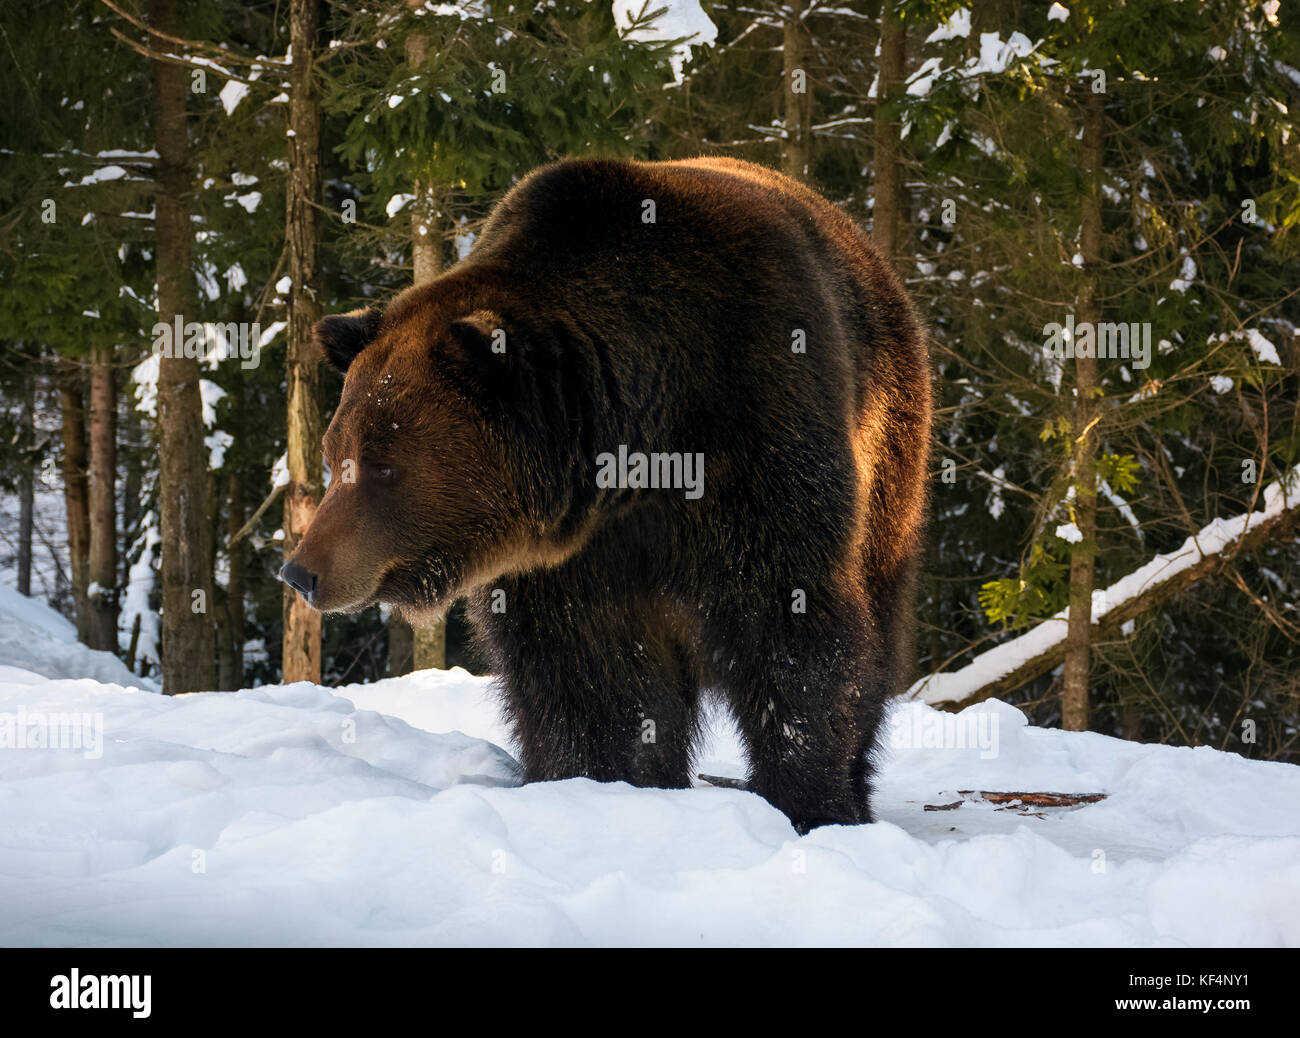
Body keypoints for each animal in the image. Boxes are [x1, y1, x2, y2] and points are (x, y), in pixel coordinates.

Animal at [283, 157, 932, 833]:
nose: (301, 571)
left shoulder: (760, 445)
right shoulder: (571, 556)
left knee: (877, 619)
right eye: (335, 455)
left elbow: (791, 633)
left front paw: (810, 801)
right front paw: (600, 778)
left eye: (384, 467)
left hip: (888, 450)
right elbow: (586, 673)